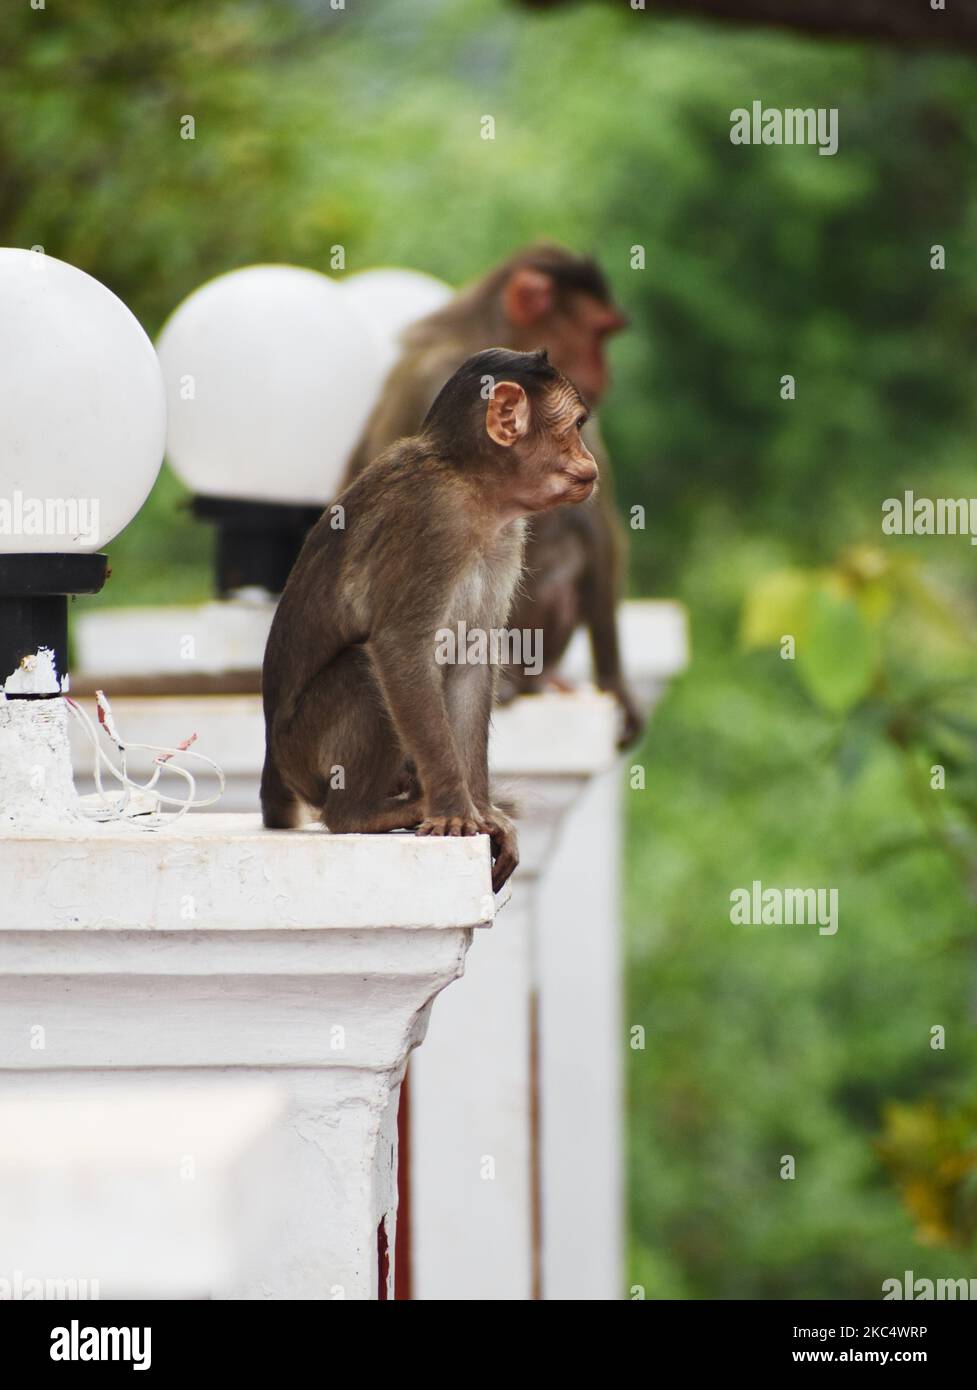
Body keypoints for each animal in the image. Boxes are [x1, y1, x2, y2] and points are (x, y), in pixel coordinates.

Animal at [260, 347, 599, 893]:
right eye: (577, 426)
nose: (591, 461)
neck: (473, 486)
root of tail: (276, 765)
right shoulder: (435, 520)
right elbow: (400, 647)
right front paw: (455, 809)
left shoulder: (508, 538)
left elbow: (472, 659)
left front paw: (483, 810)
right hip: (306, 751)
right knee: (362, 670)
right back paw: (360, 814)